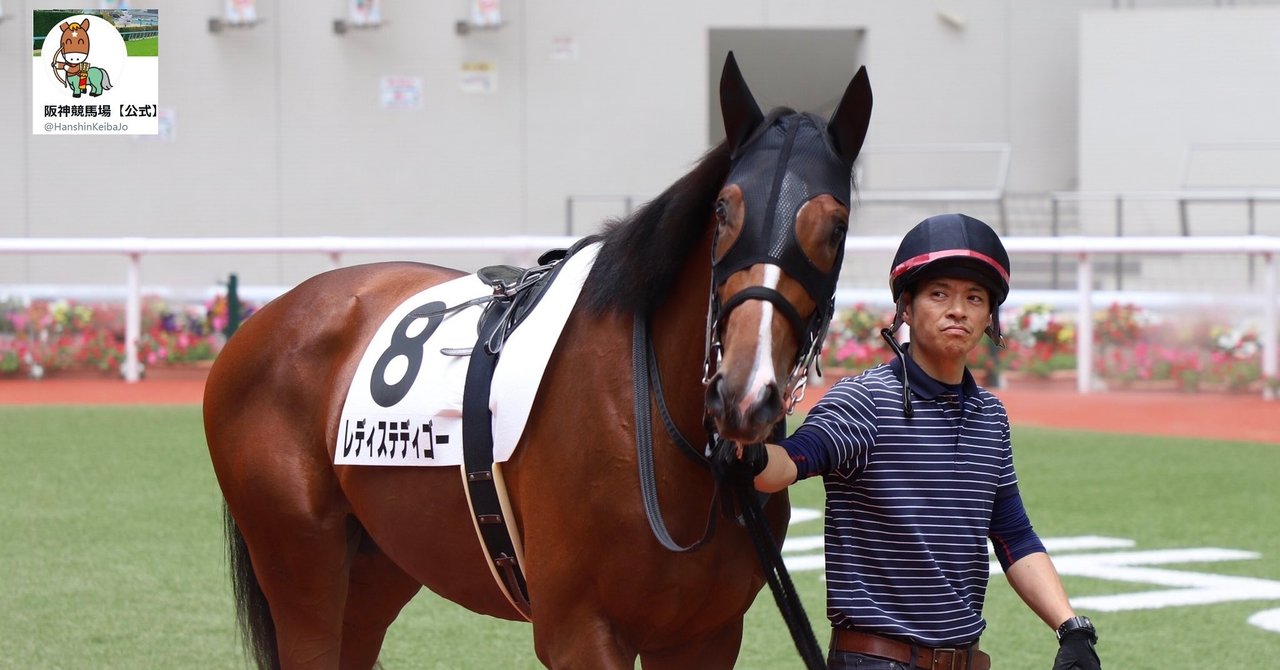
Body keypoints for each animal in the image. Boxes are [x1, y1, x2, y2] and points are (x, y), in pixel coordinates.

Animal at [204, 53, 872, 669]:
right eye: (723, 210)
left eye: (837, 227)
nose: (743, 394)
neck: (653, 428)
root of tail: (263, 319)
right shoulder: (579, 632)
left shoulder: (703, 637)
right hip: (300, 563)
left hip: (376, 566)